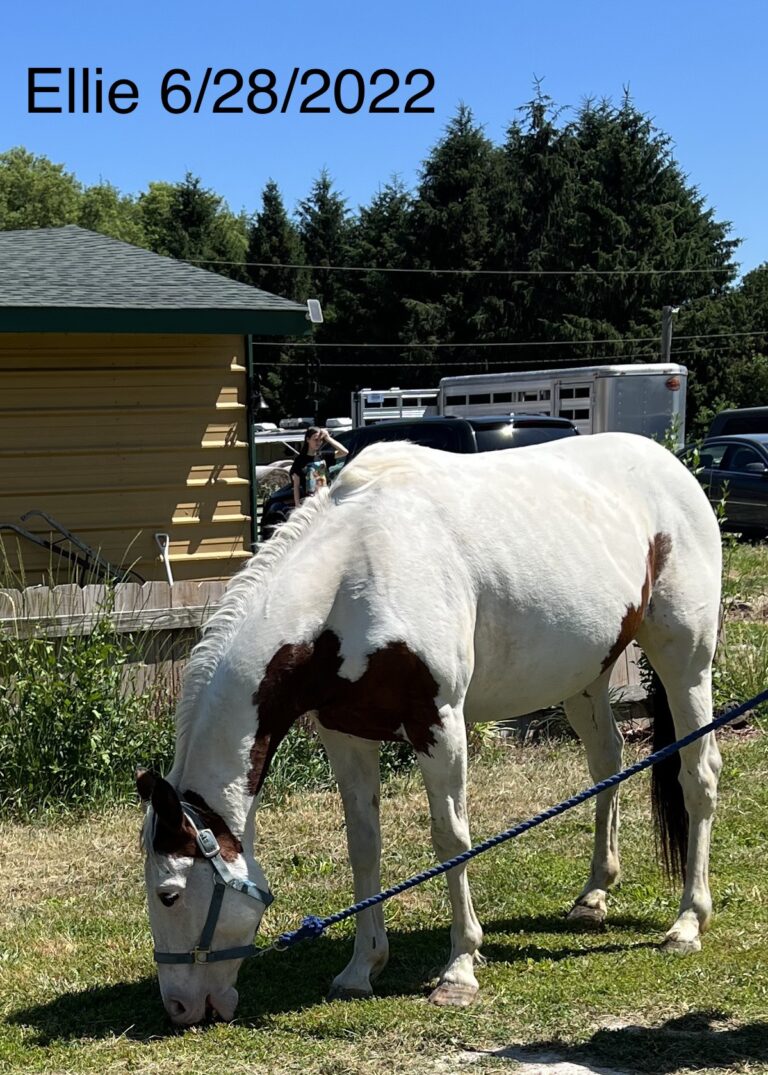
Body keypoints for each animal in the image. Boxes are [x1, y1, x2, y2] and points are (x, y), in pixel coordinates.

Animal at [137, 432, 723, 1026]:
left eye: (168, 894)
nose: (180, 1007)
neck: (350, 578)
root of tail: (672, 464)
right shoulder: (346, 736)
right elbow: (363, 845)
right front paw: (361, 967)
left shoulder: (438, 726)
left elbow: (451, 839)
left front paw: (459, 971)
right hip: (587, 675)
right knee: (607, 761)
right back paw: (594, 895)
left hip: (686, 660)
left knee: (698, 776)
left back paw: (687, 923)